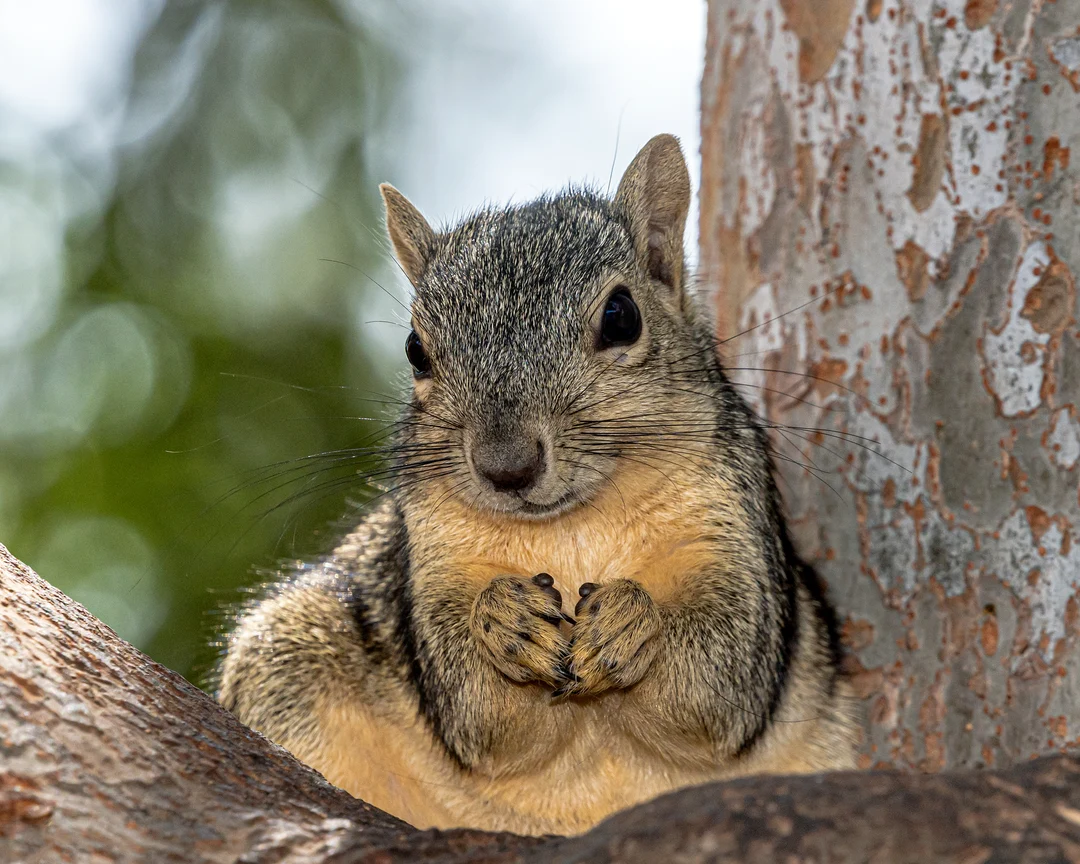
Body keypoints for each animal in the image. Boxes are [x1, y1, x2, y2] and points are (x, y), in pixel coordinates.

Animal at [216, 134, 858, 836]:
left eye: (622, 316)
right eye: (416, 349)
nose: (507, 466)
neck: (572, 523)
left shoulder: (733, 532)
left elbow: (724, 679)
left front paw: (631, 620)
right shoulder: (431, 561)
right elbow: (478, 713)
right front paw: (506, 620)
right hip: (286, 655)